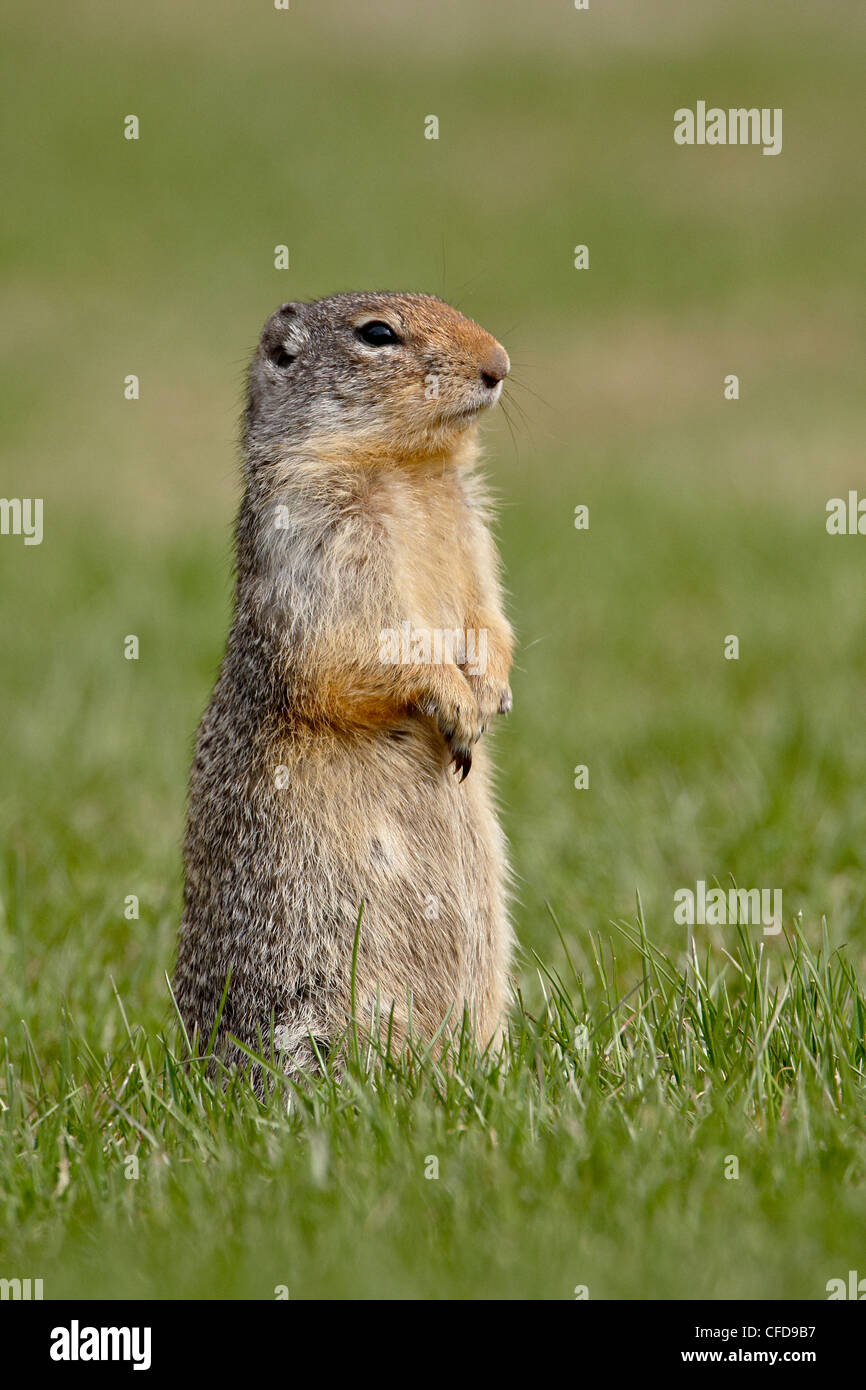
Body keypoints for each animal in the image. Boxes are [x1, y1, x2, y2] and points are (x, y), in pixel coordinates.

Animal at [173, 291, 515, 1076]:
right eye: (377, 333)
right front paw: (454, 701)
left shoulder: (475, 532)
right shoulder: (318, 536)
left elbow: (488, 613)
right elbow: (356, 643)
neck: (413, 472)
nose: (499, 364)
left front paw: (493, 687)